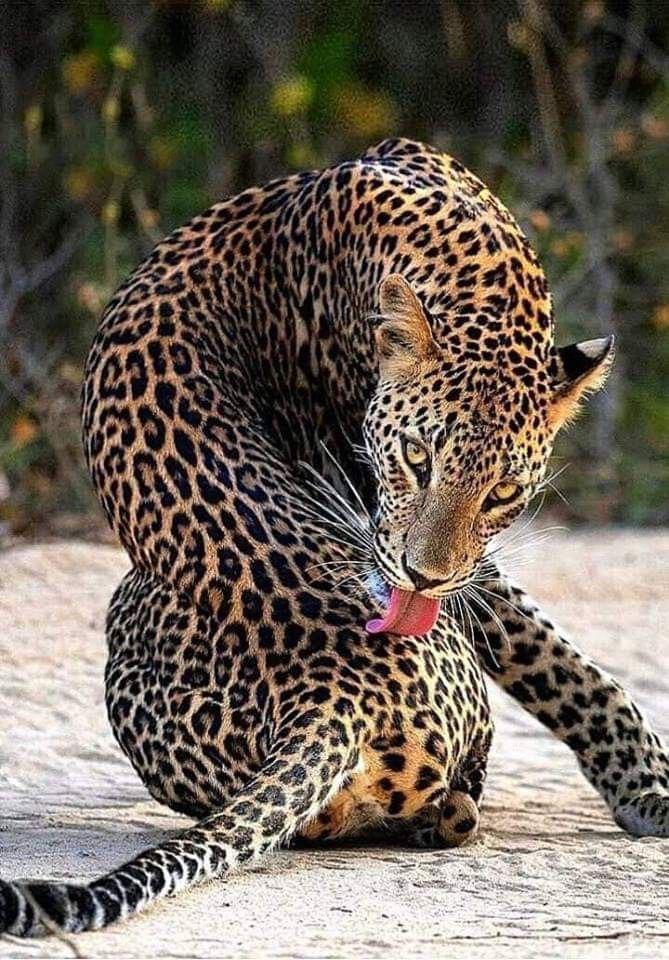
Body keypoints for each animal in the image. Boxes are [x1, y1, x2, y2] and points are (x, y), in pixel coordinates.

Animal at [2, 138, 667, 938]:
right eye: (416, 456)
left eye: (502, 493)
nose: (421, 578)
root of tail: (332, 692)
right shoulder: (381, 517)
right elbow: (549, 652)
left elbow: (549, 648)